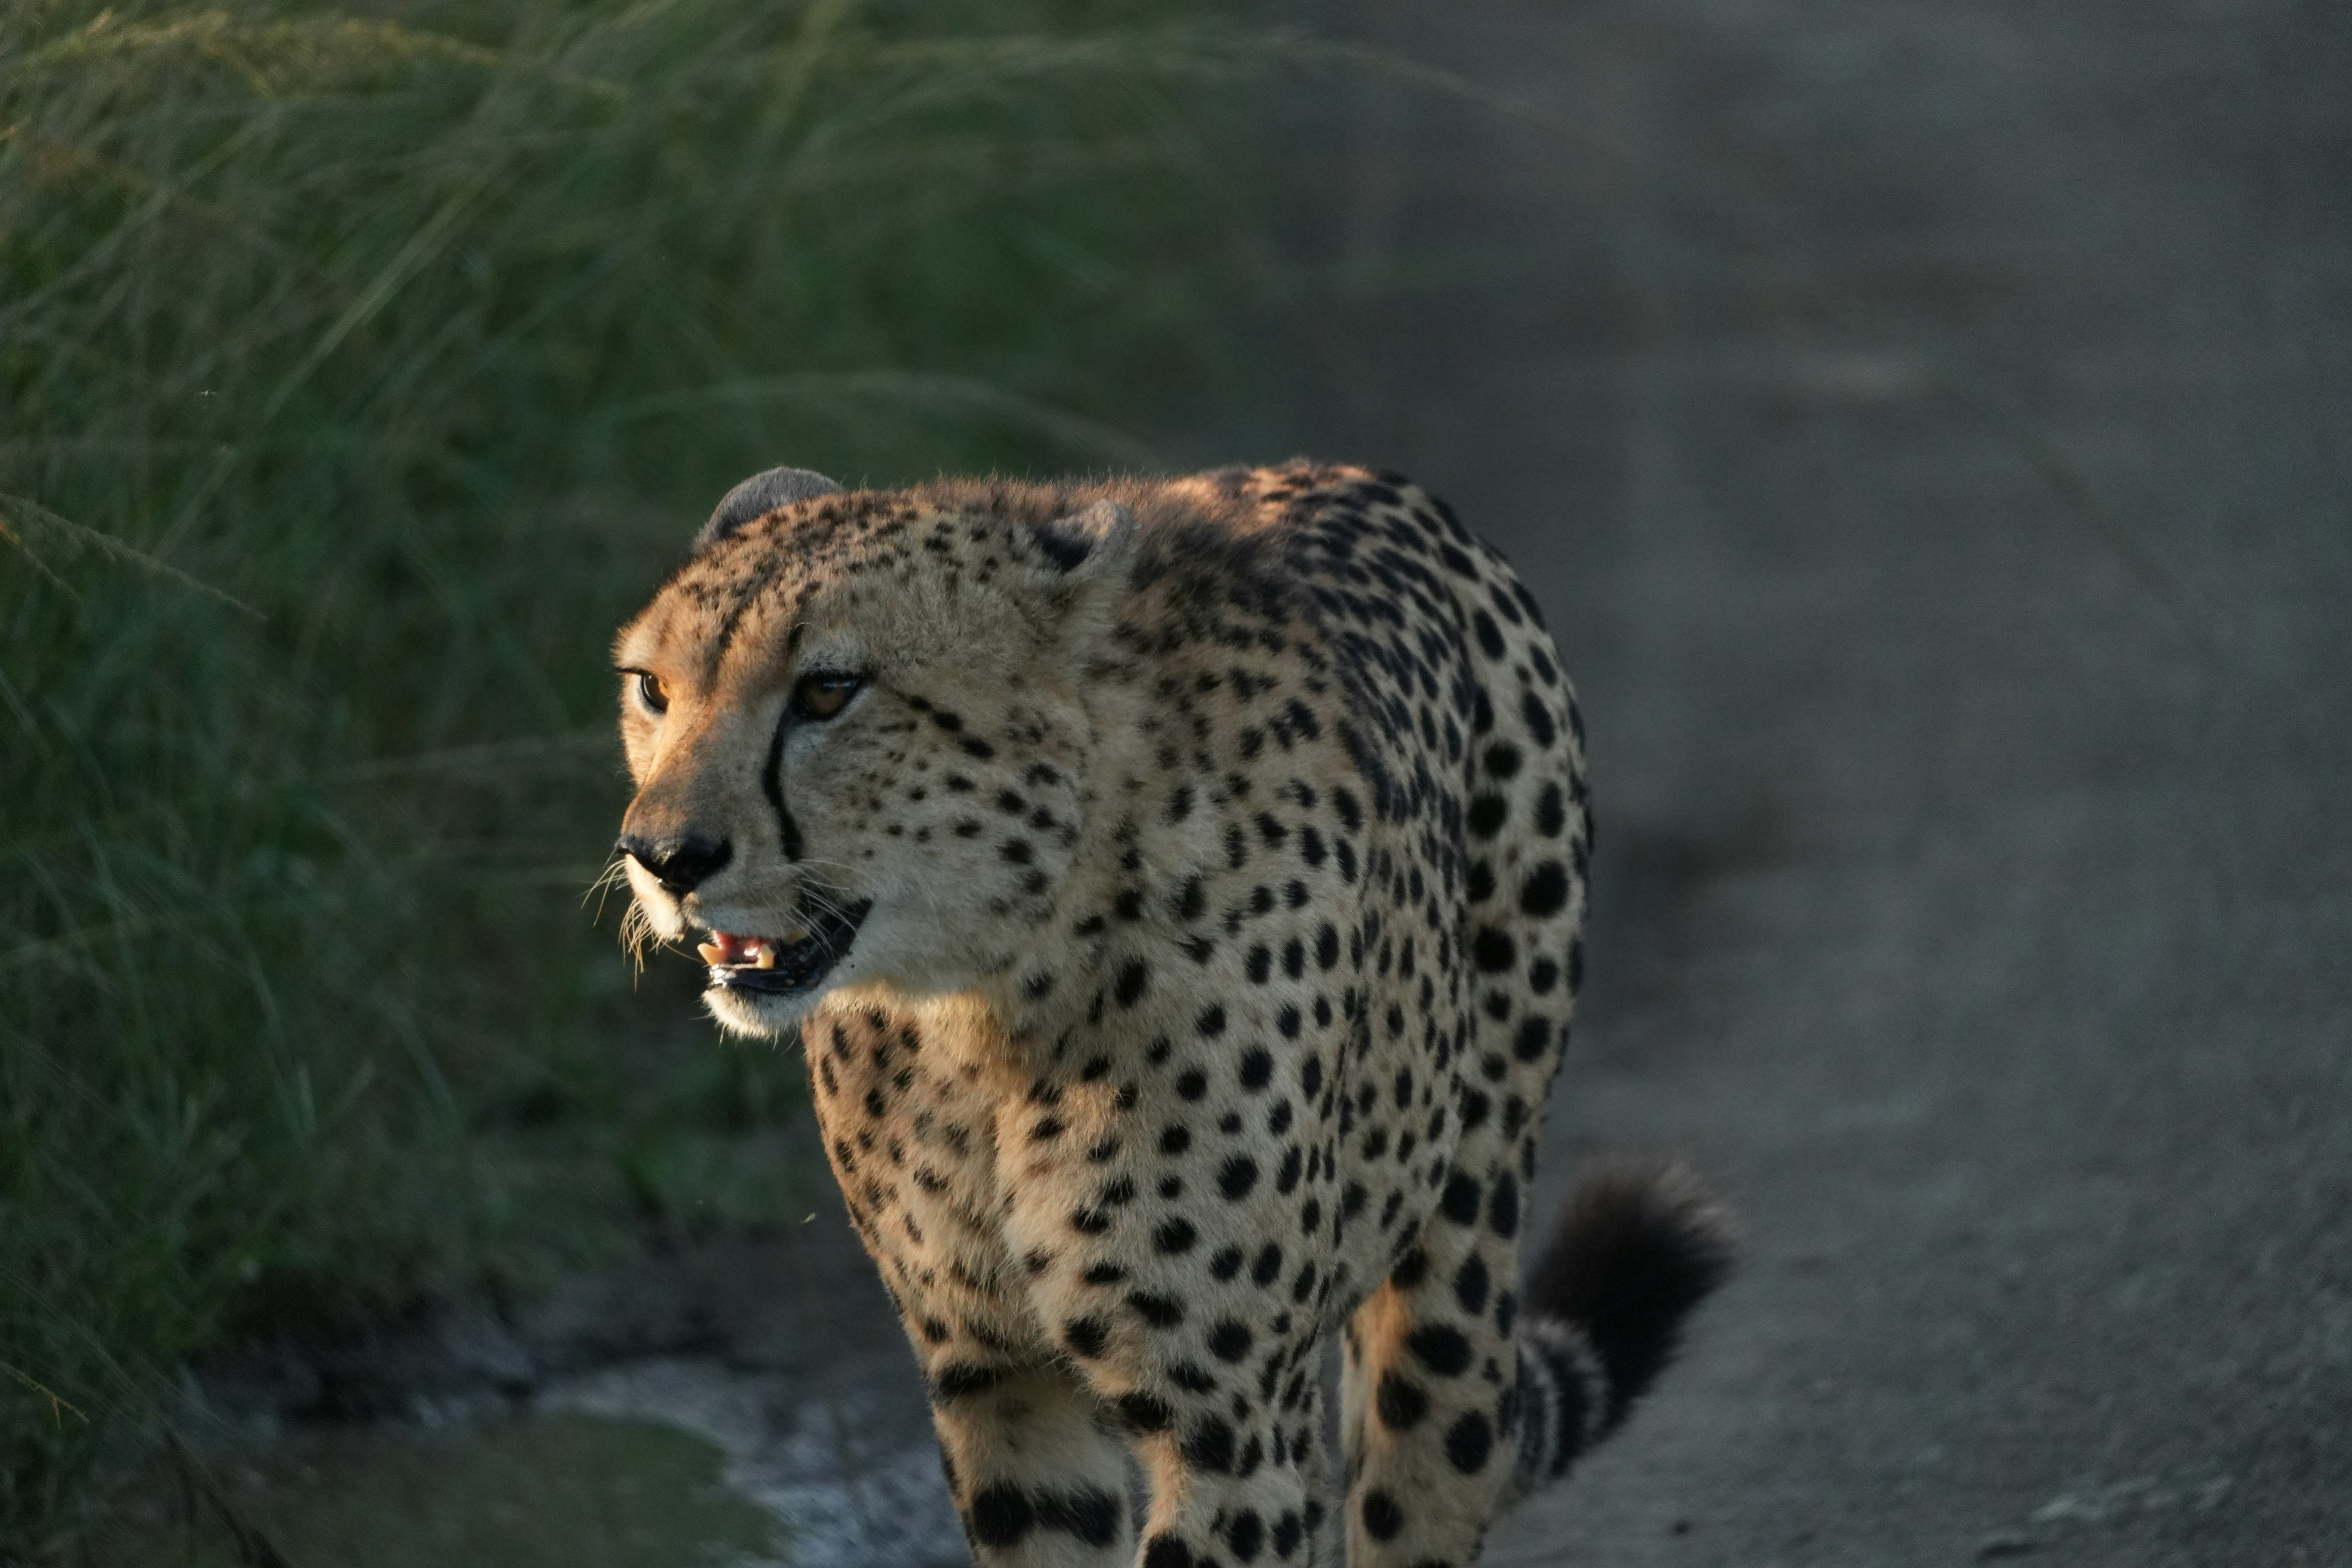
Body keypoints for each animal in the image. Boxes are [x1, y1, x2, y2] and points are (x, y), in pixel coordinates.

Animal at [610, 460, 1733, 1568]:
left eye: (829, 690)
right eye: (653, 689)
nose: (662, 857)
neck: (983, 1006)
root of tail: (1359, 476)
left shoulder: (1229, 1425)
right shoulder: (992, 1377)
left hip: (1459, 1249)